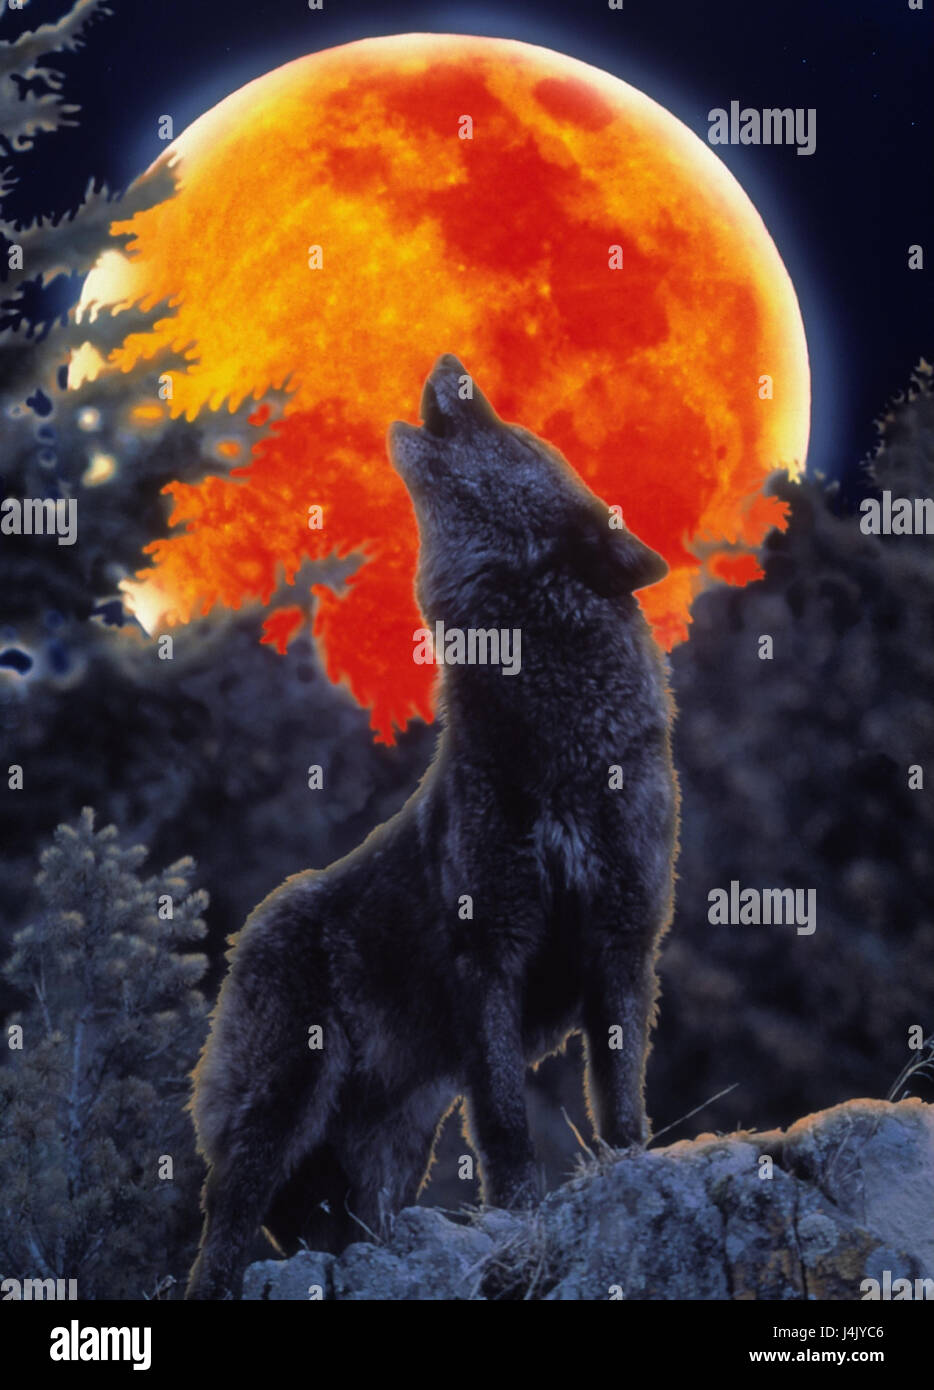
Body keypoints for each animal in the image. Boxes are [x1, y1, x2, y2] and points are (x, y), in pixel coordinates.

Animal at [186, 354, 679, 1299]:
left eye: (514, 434)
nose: (454, 364)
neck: (556, 737)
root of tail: (257, 919)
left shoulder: (624, 942)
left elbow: (623, 1095)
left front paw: (630, 1170)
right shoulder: (490, 950)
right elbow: (507, 1119)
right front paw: (519, 1213)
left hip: (387, 1147)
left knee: (338, 1225)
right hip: (286, 1099)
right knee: (225, 1223)